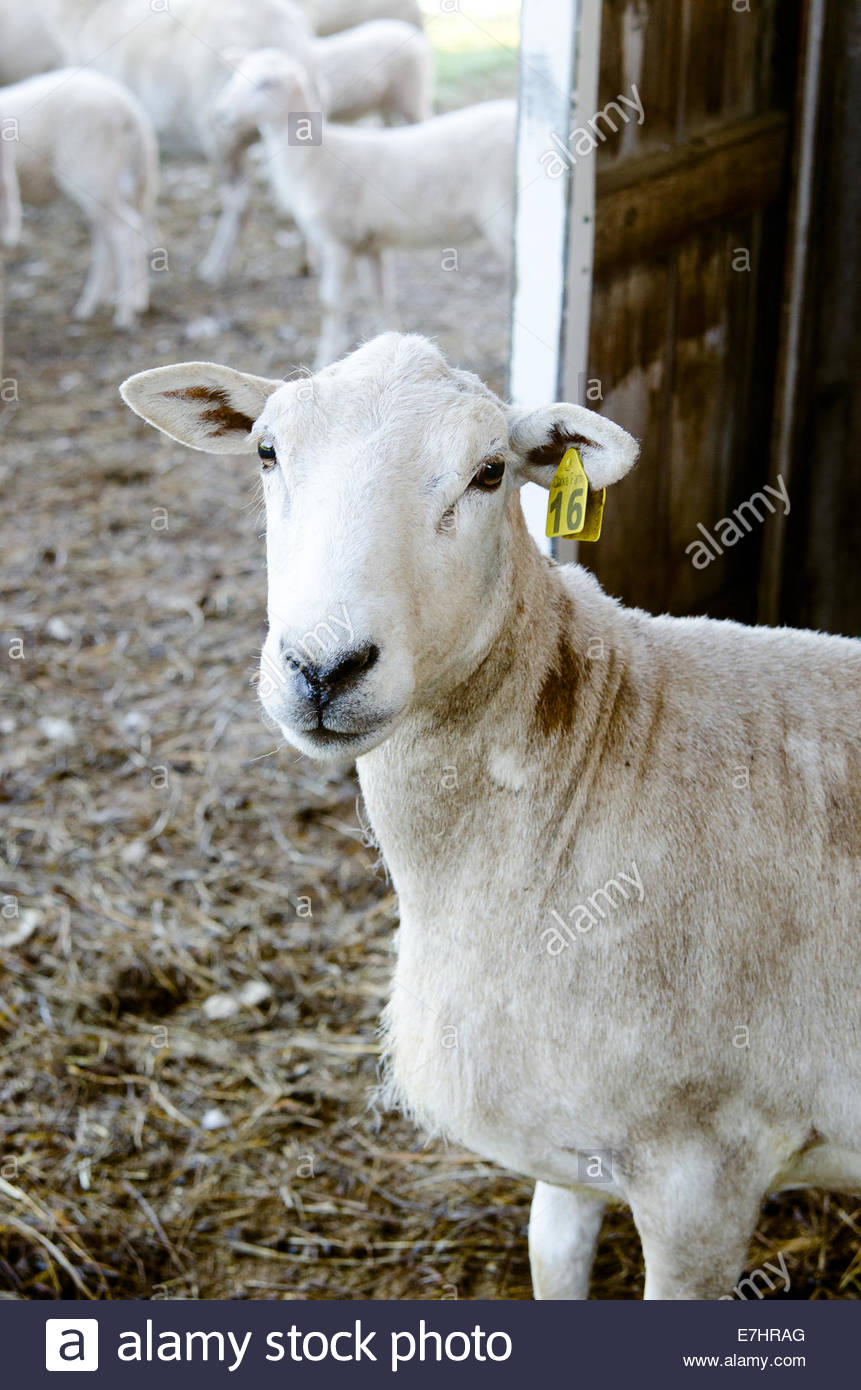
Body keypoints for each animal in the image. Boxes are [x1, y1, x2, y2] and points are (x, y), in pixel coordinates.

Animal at [0, 70, 158, 329]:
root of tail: (131, 109)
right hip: (108, 182)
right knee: (113, 236)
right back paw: (114, 302)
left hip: (91, 173)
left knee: (124, 232)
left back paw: (123, 315)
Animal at [120, 331, 861, 1301]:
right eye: (266, 452)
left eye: (488, 472)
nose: (323, 667)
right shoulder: (571, 1138)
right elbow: (551, 1258)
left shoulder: (704, 1170)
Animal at [214, 52, 515, 365]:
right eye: (236, 74)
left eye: (267, 83)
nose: (221, 113)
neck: (312, 160)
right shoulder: (371, 243)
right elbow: (379, 296)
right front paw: (390, 344)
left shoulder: (338, 242)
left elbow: (331, 304)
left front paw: (323, 360)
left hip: (505, 222)